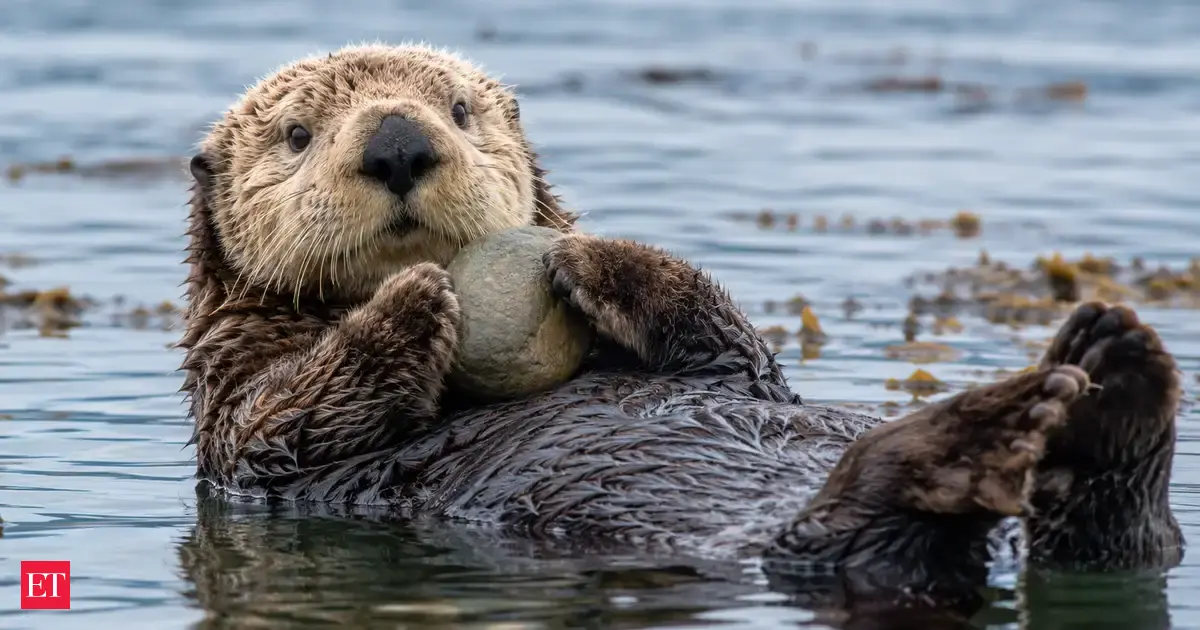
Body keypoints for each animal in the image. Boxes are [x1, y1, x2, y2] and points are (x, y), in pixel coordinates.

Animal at [178, 43, 1184, 619]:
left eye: (458, 111)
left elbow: (733, 346)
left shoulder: (733, 363)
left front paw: (593, 258)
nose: (396, 140)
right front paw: (413, 299)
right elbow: (287, 420)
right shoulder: (240, 418)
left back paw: (1109, 371)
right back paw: (1003, 423)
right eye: (298, 134)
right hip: (826, 539)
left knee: (1122, 534)